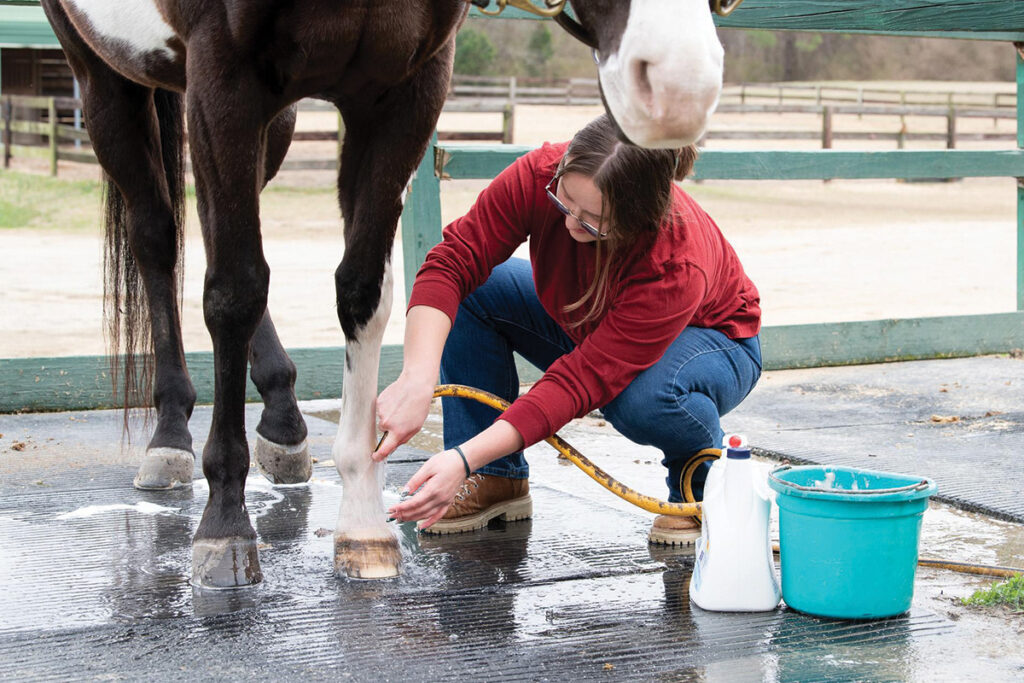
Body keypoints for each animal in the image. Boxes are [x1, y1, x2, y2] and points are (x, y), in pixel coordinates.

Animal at [38, 0, 734, 587]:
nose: (682, 81)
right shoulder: (223, 76)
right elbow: (233, 291)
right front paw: (226, 527)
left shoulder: (402, 92)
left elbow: (362, 291)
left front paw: (364, 521)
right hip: (103, 75)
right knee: (157, 237)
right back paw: (170, 436)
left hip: (269, 115)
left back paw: (285, 424)